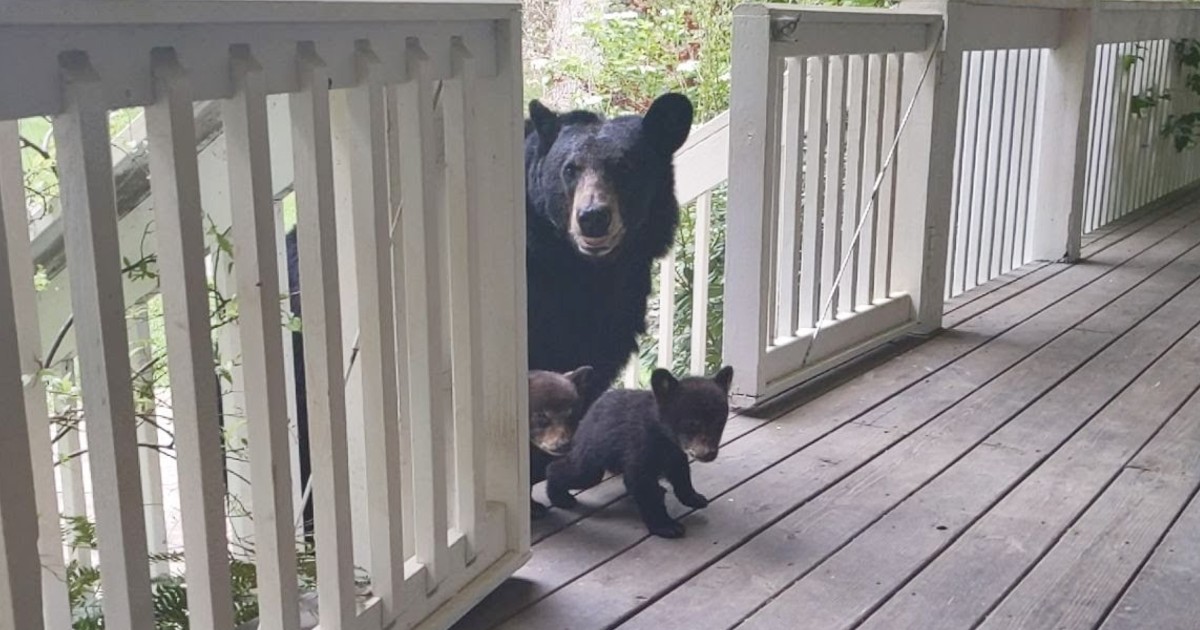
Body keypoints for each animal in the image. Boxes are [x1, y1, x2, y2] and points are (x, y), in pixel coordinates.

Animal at [546, 365, 734, 539]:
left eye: (719, 422)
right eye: (692, 423)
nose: (709, 453)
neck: (663, 435)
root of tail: (587, 414)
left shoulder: (675, 452)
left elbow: (681, 473)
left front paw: (693, 497)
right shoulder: (639, 446)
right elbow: (642, 484)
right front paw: (665, 525)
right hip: (592, 451)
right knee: (577, 472)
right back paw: (559, 496)